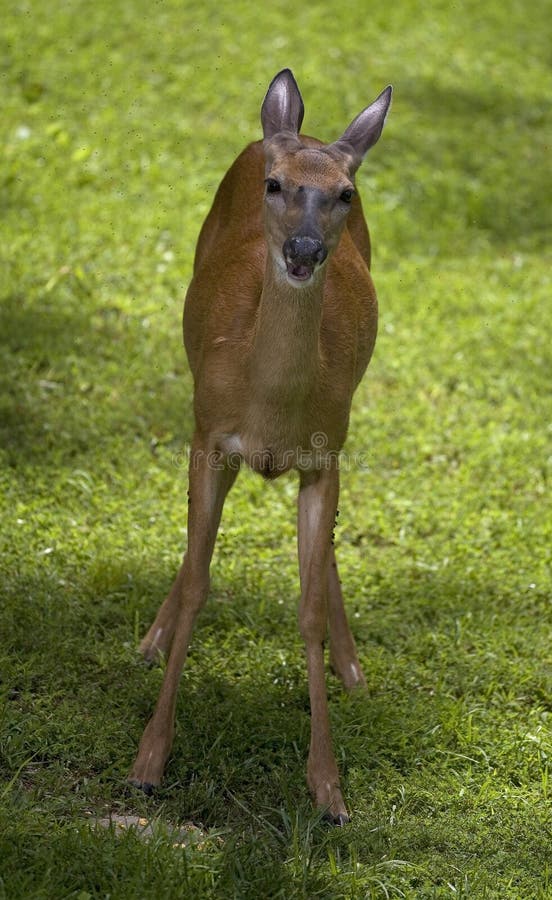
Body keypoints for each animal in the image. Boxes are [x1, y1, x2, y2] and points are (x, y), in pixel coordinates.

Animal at [128, 69, 392, 825]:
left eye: (345, 193)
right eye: (275, 185)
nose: (304, 252)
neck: (270, 406)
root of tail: (288, 126)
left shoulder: (326, 455)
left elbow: (307, 605)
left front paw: (329, 788)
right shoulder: (210, 437)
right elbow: (197, 581)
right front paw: (148, 763)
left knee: (324, 557)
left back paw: (354, 670)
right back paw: (150, 642)